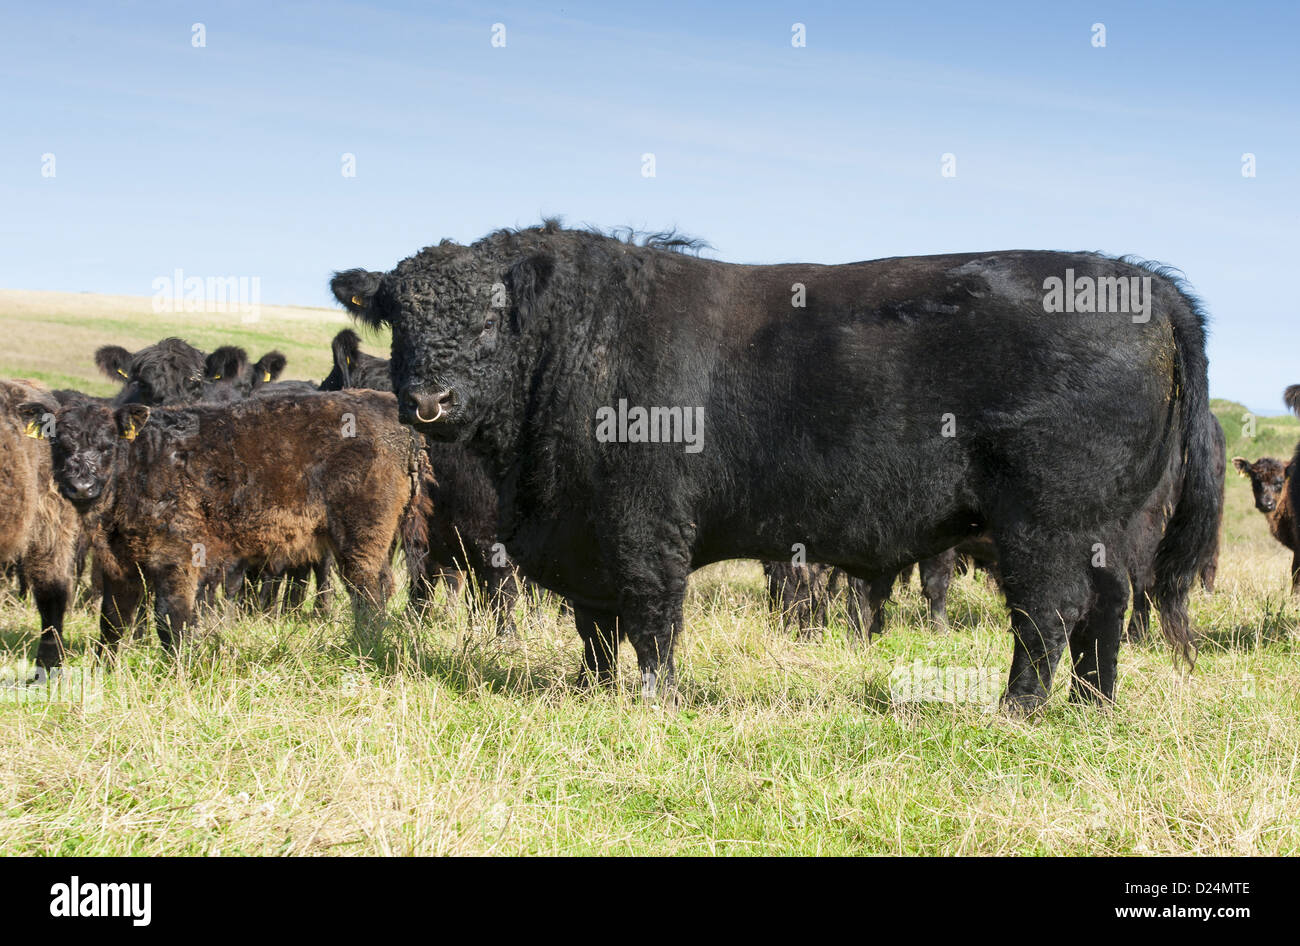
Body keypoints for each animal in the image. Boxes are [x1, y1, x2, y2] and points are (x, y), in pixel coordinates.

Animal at [21, 391, 426, 658]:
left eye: (107, 445)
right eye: (60, 444)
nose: (81, 486)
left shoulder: (177, 555)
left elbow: (172, 617)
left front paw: (178, 667)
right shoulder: (118, 560)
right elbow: (113, 619)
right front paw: (105, 667)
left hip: (360, 536)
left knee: (368, 592)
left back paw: (364, 647)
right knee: (381, 587)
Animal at [332, 222, 1219, 712]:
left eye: (491, 321)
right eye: (399, 317)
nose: (428, 399)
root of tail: (1146, 284)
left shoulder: (642, 525)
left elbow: (649, 617)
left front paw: (655, 700)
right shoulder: (582, 535)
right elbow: (595, 626)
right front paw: (588, 689)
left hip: (1044, 523)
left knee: (1049, 612)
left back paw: (1019, 708)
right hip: (1104, 525)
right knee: (1107, 607)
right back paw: (1094, 706)